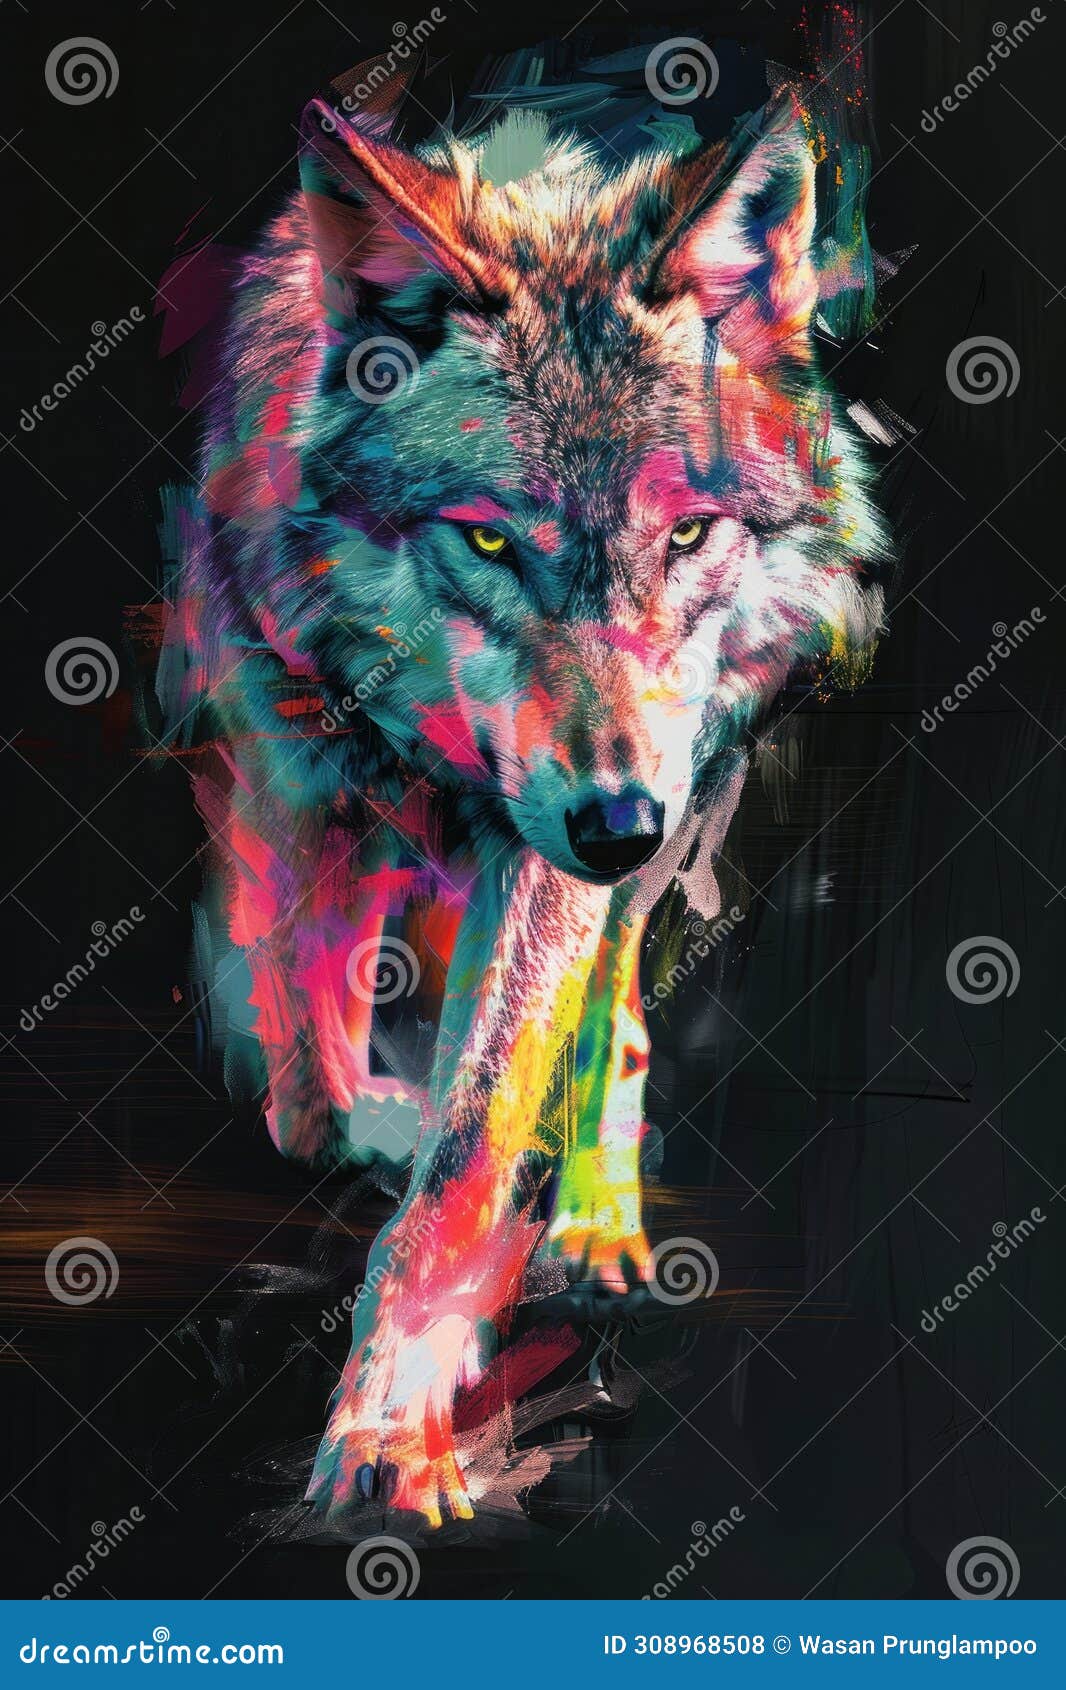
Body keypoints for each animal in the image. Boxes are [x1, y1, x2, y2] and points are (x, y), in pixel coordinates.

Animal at [162, 80, 890, 1529]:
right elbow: (297, 1007)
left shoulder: (551, 850)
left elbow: (473, 1145)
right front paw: (345, 1116)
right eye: (491, 538)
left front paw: (392, 1435)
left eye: (687, 532)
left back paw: (595, 1222)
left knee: (611, 1011)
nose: (618, 822)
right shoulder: (284, 760)